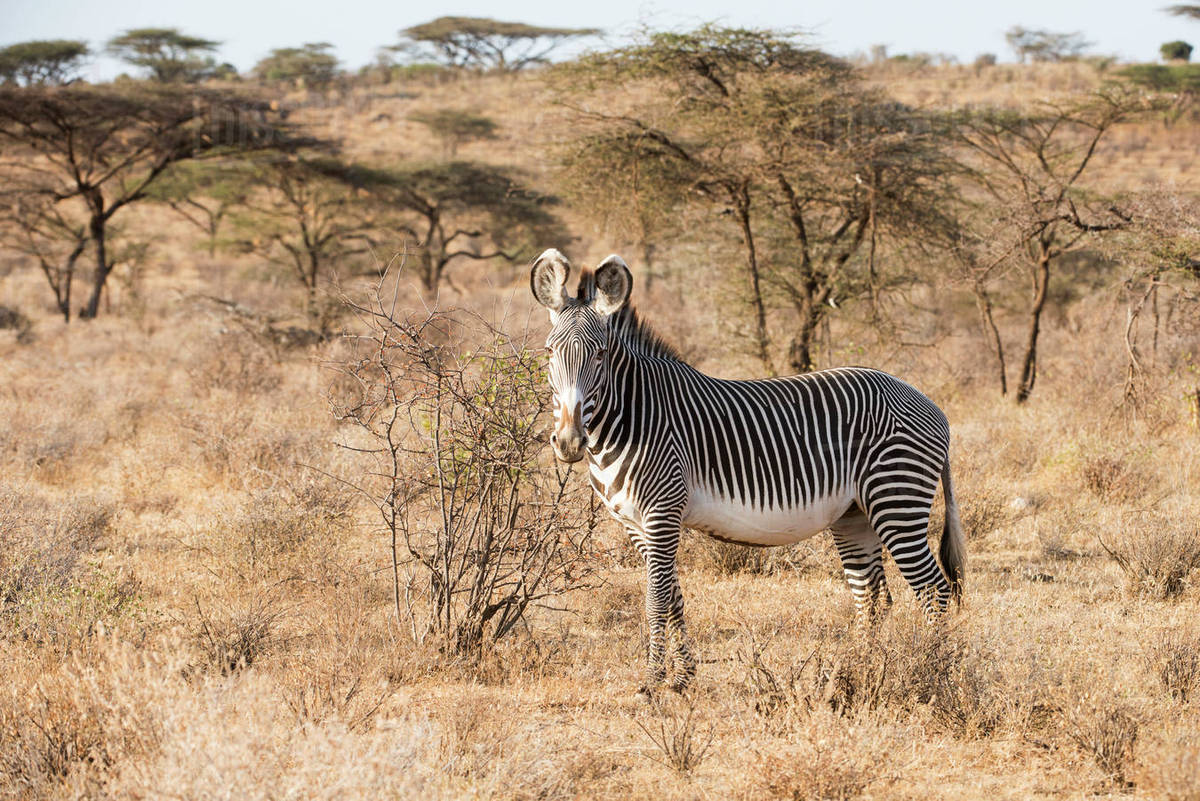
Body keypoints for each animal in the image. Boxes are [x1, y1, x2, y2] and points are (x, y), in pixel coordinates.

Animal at [530, 248, 966, 691]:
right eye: (549, 353)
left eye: (600, 355)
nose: (569, 442)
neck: (633, 415)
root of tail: (929, 404)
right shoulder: (634, 524)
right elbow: (672, 596)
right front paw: (683, 677)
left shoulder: (662, 513)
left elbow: (655, 599)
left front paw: (653, 682)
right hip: (854, 515)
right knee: (873, 597)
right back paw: (860, 673)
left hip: (897, 499)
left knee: (934, 591)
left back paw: (934, 675)